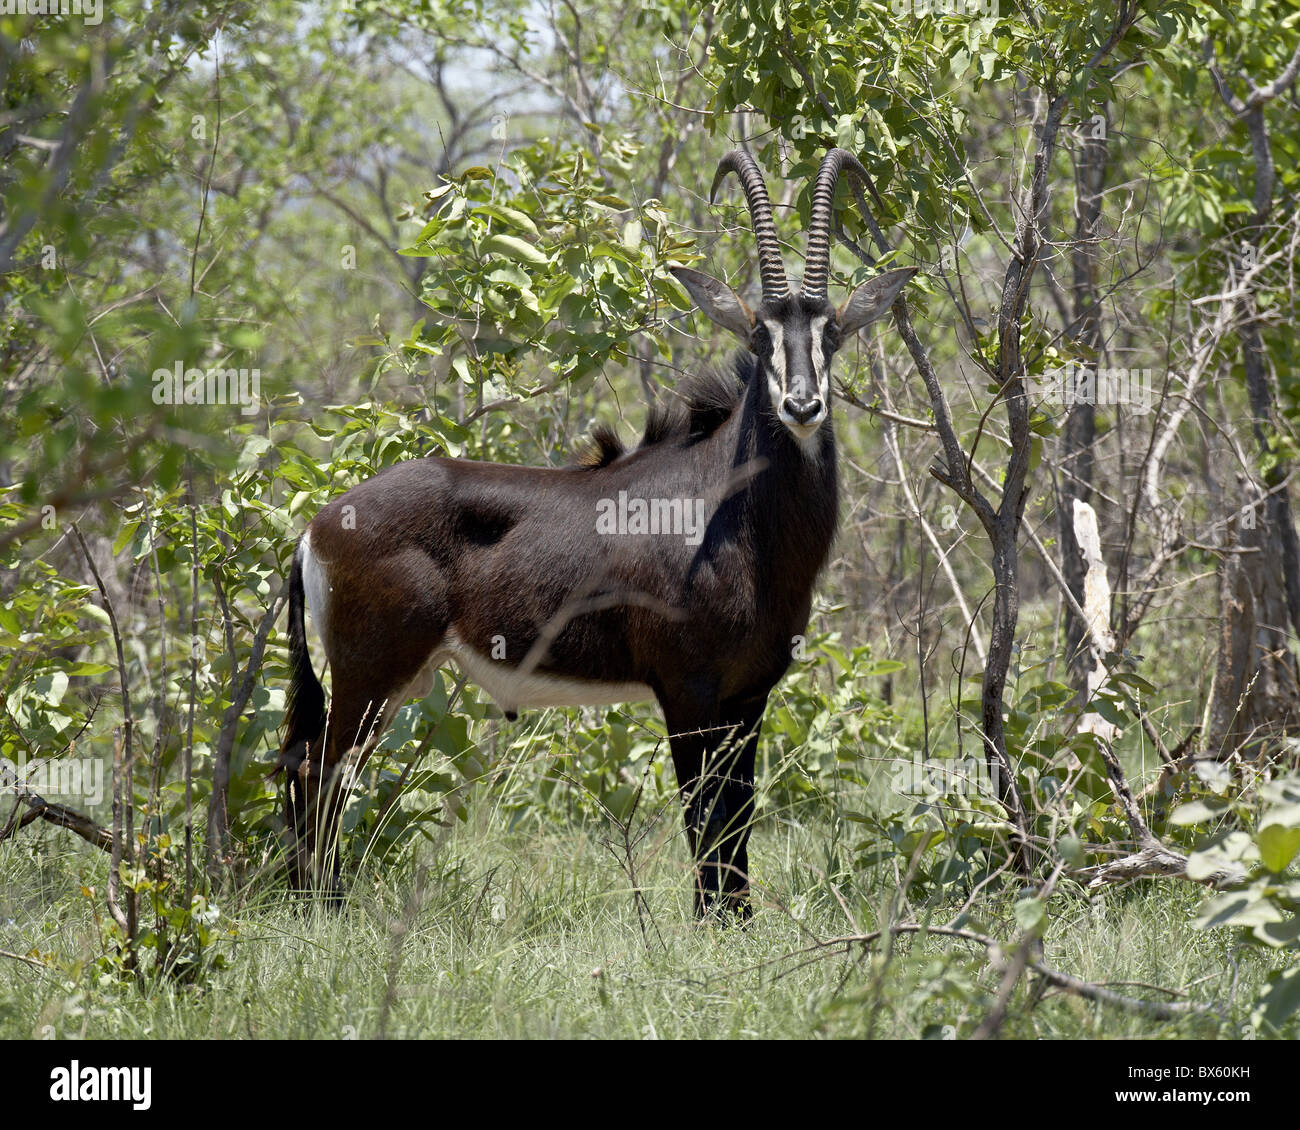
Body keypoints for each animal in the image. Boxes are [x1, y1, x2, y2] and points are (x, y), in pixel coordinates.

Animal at [276, 148, 917, 916]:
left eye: (833, 334)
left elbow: (738, 817)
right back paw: (327, 906)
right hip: (372, 673)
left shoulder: (748, 696)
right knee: (321, 771)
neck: (730, 515)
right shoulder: (687, 691)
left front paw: (739, 919)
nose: (802, 405)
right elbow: (704, 817)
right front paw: (710, 922)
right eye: (760, 334)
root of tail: (315, 526)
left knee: (306, 765)